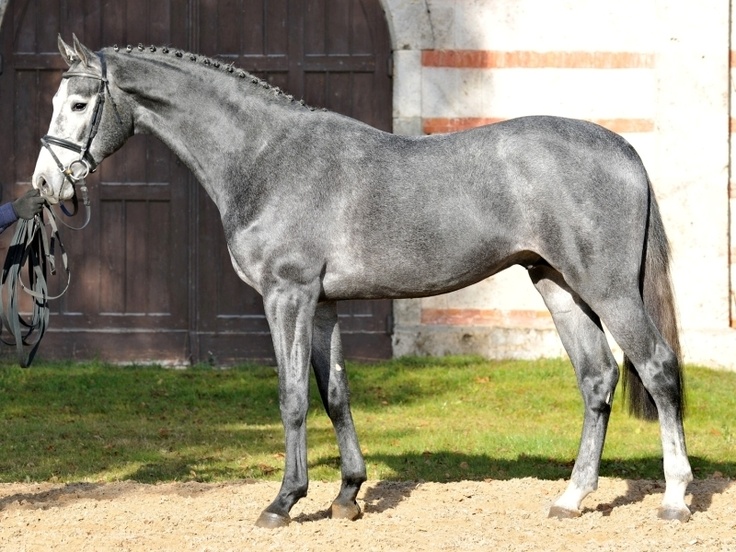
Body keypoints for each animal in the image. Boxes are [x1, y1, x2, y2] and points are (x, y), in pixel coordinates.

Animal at [32, 35, 693, 527]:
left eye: (80, 104)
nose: (45, 184)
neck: (265, 156)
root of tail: (623, 148)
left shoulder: (288, 296)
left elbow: (293, 397)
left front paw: (283, 501)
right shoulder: (322, 304)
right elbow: (336, 394)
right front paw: (347, 495)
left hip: (608, 289)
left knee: (657, 368)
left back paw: (674, 499)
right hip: (558, 284)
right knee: (598, 378)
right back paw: (571, 499)